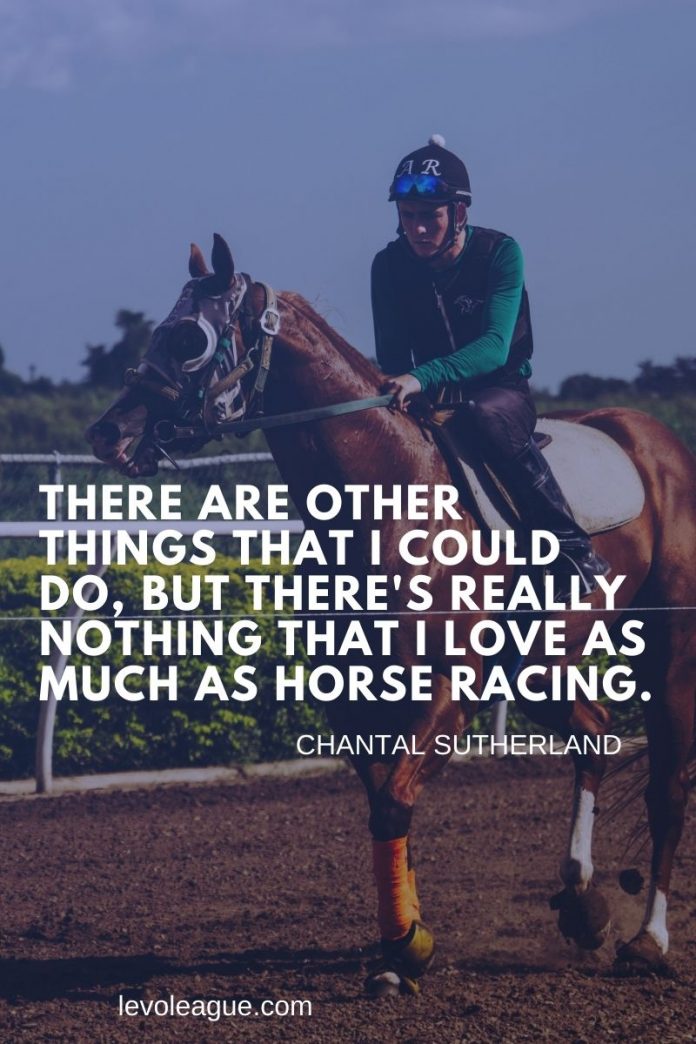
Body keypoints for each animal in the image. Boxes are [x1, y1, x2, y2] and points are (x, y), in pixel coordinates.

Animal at [87, 234, 696, 994]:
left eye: (189, 338)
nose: (107, 433)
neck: (386, 497)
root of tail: (655, 439)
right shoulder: (355, 699)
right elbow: (382, 806)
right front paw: (403, 942)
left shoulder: (447, 692)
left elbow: (394, 802)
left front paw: (407, 945)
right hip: (540, 667)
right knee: (594, 733)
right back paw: (582, 902)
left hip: (666, 644)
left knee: (666, 783)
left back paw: (649, 939)